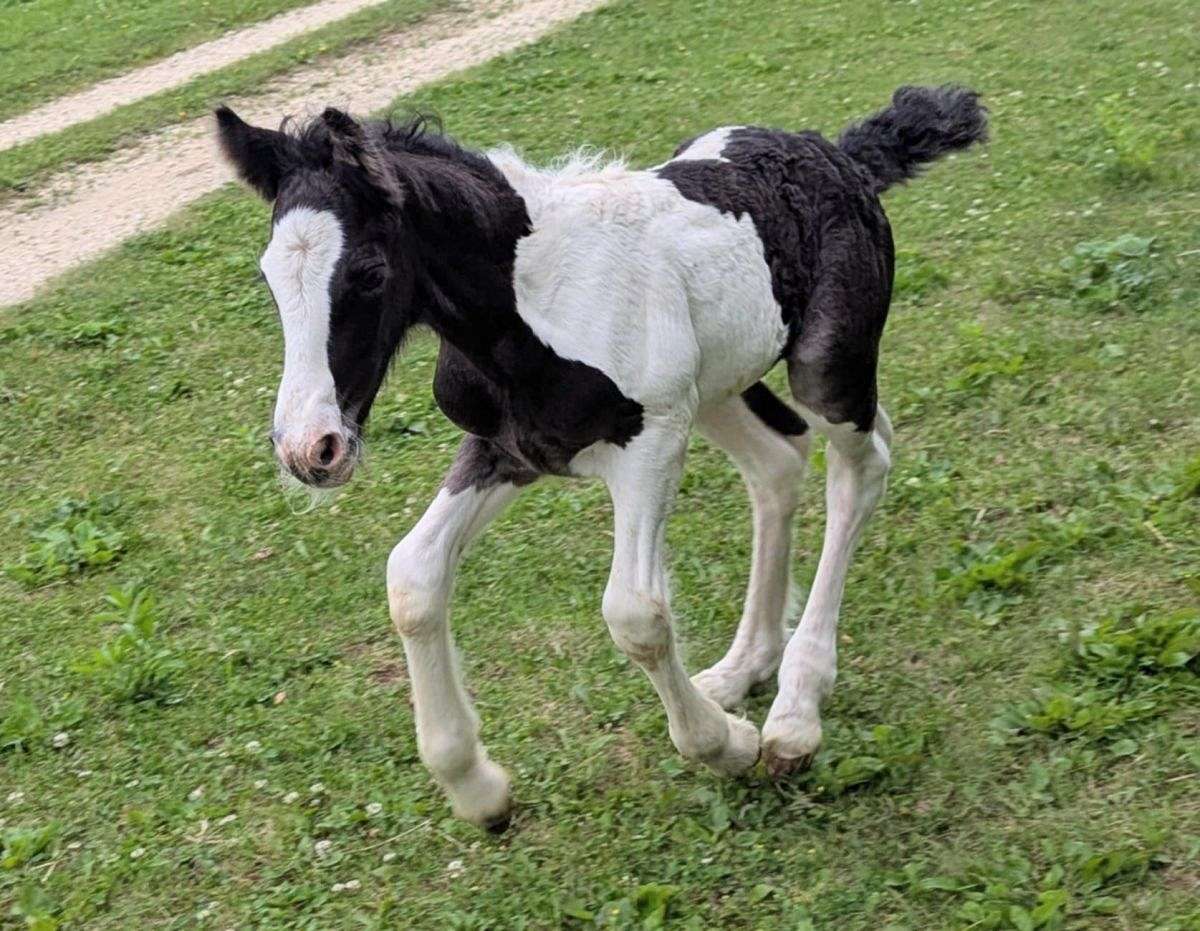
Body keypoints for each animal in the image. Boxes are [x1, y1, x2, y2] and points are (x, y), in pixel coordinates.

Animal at [215, 85, 986, 830]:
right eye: (269, 279)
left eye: (370, 273)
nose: (309, 449)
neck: (530, 305)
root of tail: (841, 155)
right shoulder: (509, 448)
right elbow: (411, 580)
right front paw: (477, 788)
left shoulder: (649, 442)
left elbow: (635, 614)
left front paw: (728, 745)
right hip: (716, 388)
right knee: (779, 459)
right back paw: (742, 668)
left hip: (825, 366)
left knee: (862, 465)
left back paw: (795, 712)